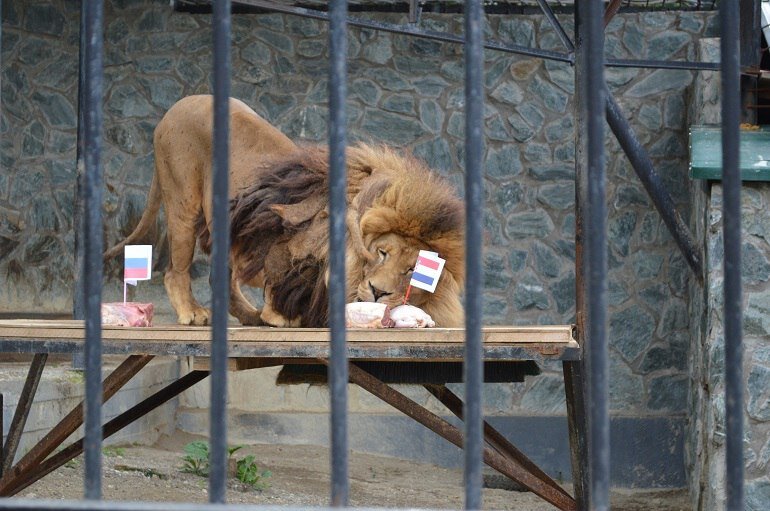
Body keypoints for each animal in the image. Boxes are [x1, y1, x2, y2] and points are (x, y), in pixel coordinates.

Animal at [102, 95, 462, 328]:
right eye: (382, 253)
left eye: (412, 270)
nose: (378, 292)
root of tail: (173, 109)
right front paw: (279, 316)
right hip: (183, 204)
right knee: (175, 271)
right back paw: (194, 312)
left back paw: (249, 316)